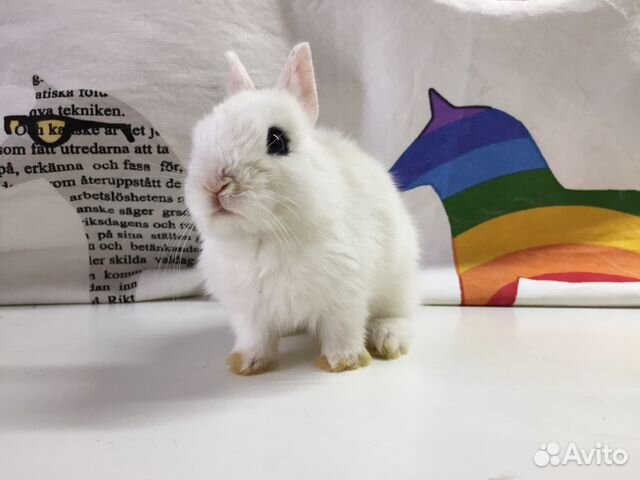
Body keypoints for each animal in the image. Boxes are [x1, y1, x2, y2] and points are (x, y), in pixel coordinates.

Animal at [185, 42, 419, 375]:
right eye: (200, 136)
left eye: (277, 140)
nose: (215, 185)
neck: (263, 237)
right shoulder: (250, 311)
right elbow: (256, 337)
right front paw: (248, 364)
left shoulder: (345, 294)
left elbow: (343, 329)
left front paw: (345, 362)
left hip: (398, 282)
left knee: (400, 314)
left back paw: (388, 339)